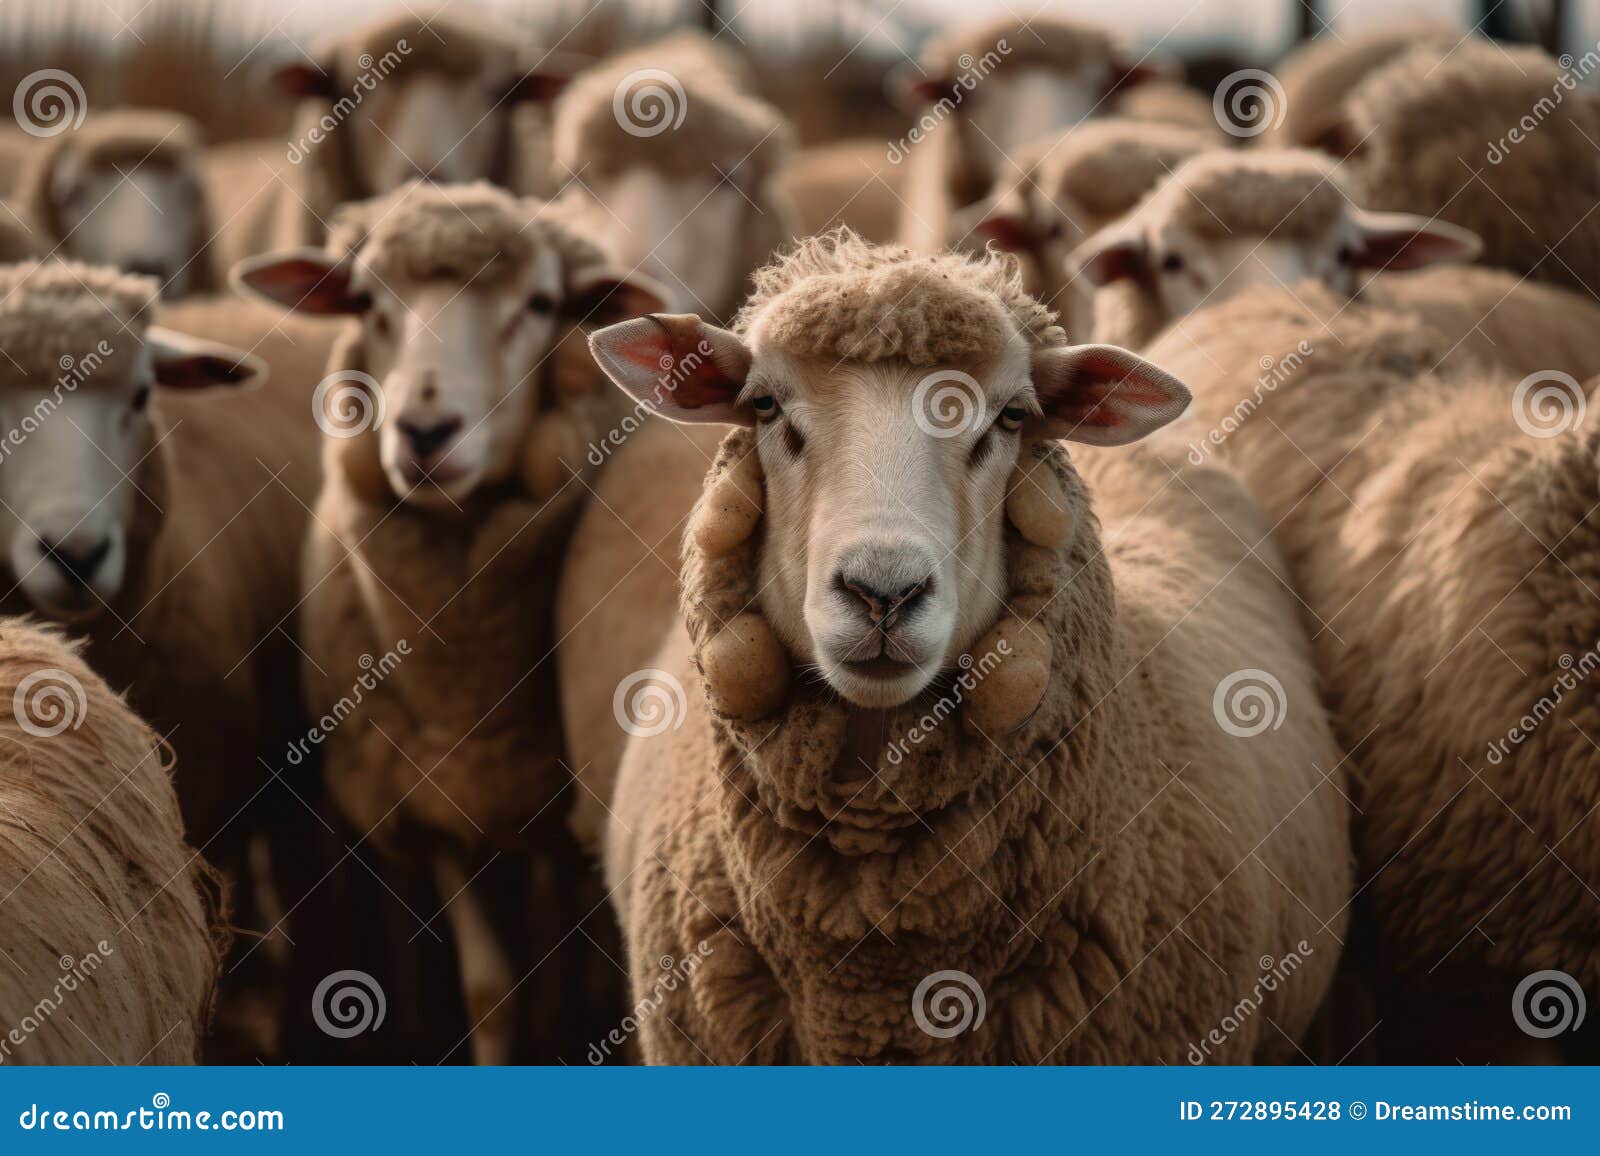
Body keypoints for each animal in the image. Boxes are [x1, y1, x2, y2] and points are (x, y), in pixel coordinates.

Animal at [234, 180, 666, 1064]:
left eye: (540, 304)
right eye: (366, 301)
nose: (425, 431)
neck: (462, 677)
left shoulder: (558, 818)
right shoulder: (438, 808)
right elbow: (489, 994)